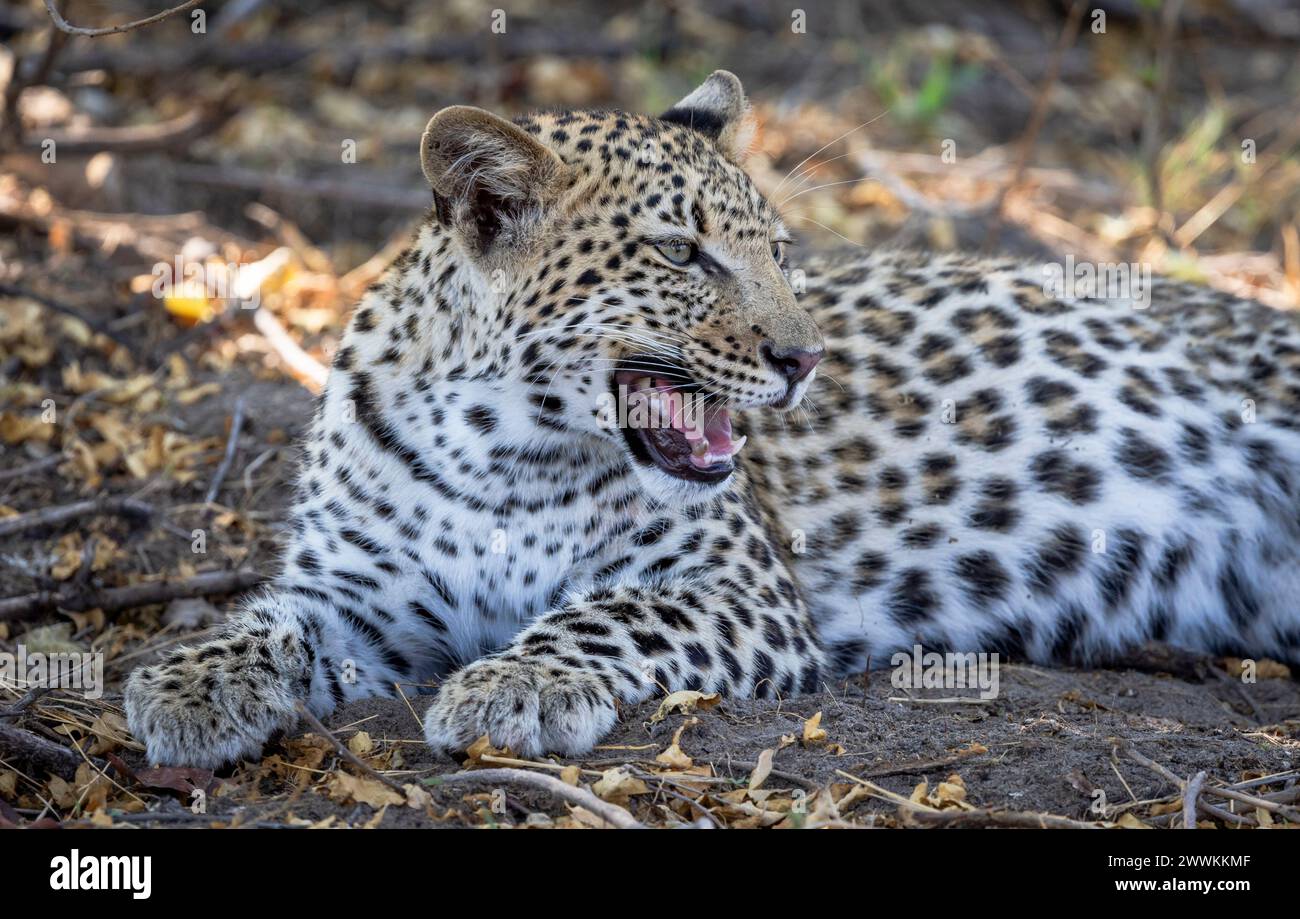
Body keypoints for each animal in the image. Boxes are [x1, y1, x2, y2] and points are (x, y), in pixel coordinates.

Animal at [125, 71, 1300, 768]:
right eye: (680, 254)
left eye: (777, 251)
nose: (805, 359)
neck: (501, 450)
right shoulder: (360, 595)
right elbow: (268, 619)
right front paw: (188, 687)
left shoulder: (742, 588)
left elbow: (605, 612)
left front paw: (512, 682)